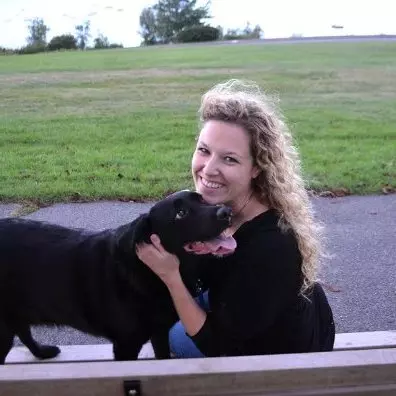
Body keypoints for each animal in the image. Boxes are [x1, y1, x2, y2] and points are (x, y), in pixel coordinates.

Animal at [0, 190, 235, 364]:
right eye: (181, 213)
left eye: (202, 199)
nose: (226, 212)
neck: (148, 270)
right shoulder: (125, 344)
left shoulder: (159, 332)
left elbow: (162, 358)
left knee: (23, 330)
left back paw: (42, 352)